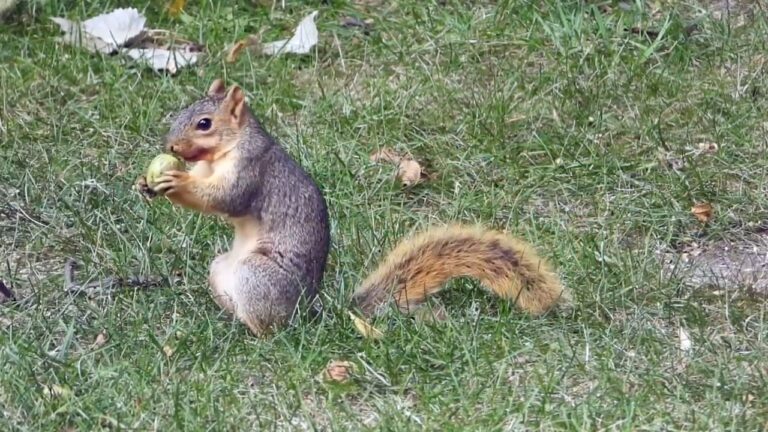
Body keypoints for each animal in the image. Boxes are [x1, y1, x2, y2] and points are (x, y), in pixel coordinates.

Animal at [136, 79, 571, 337]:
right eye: (182, 113)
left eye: (204, 123)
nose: (171, 146)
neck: (225, 150)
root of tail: (308, 312)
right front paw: (147, 183)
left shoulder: (251, 169)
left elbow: (224, 198)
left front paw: (176, 182)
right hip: (222, 270)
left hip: (257, 276)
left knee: (271, 327)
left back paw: (255, 336)